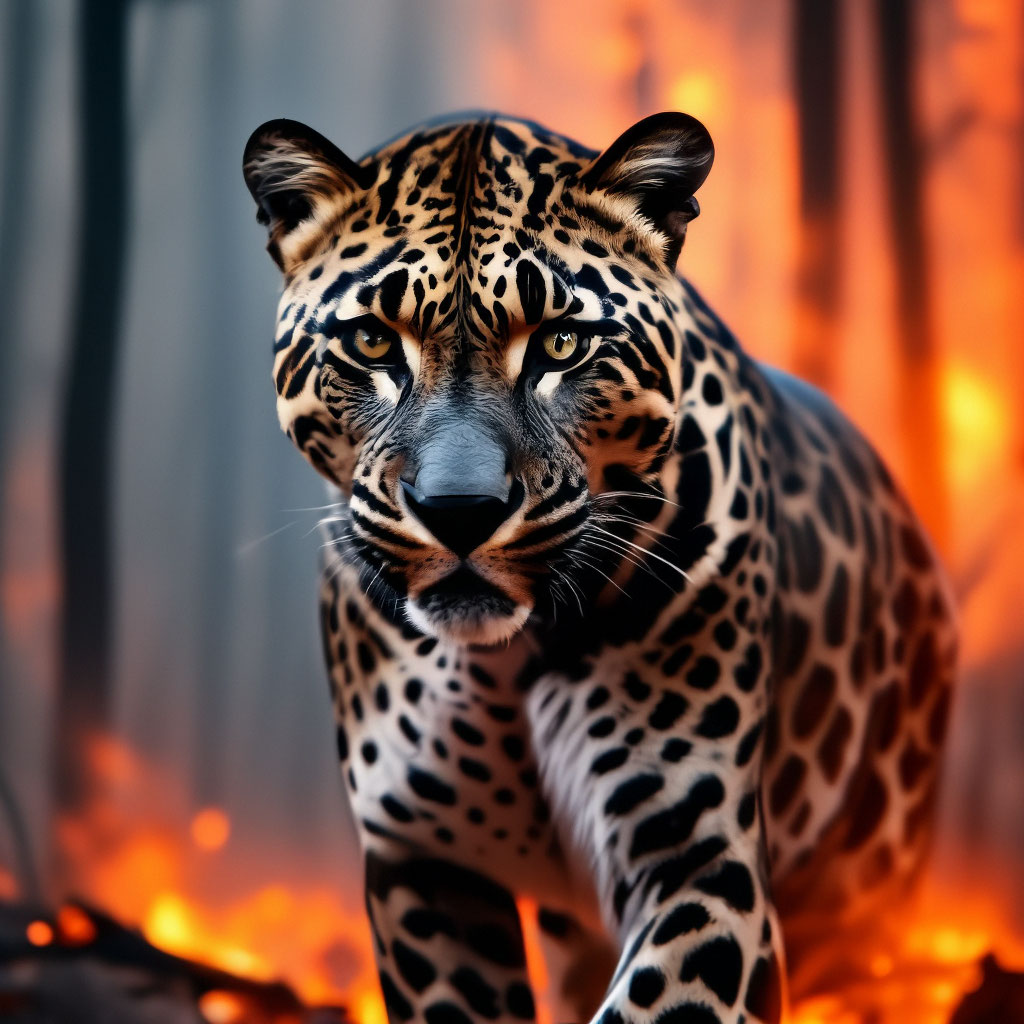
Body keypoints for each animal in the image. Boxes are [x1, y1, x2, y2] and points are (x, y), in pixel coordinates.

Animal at [242, 110, 957, 1024]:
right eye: (372, 340)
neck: (499, 666)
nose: (460, 508)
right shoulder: (425, 867)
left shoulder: (703, 862)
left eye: (560, 343)